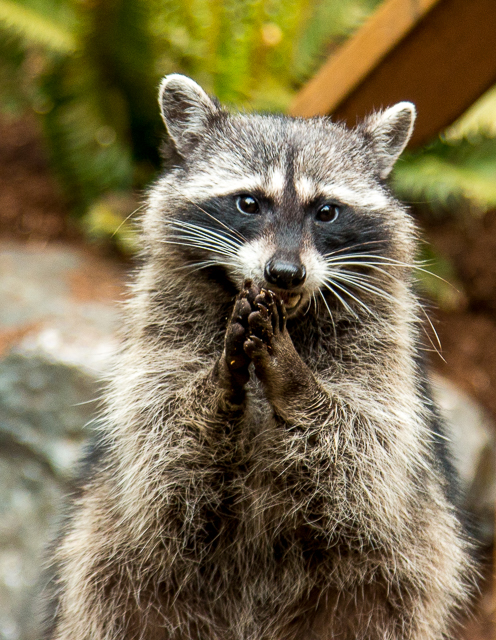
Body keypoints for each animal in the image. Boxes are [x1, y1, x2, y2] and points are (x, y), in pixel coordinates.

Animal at [44, 75, 472, 640]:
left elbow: (367, 454)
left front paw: (297, 383)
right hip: (118, 575)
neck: (287, 313)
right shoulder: (160, 334)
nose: (284, 273)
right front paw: (218, 384)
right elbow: (159, 444)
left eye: (326, 211)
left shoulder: (383, 355)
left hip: (381, 594)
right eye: (249, 202)